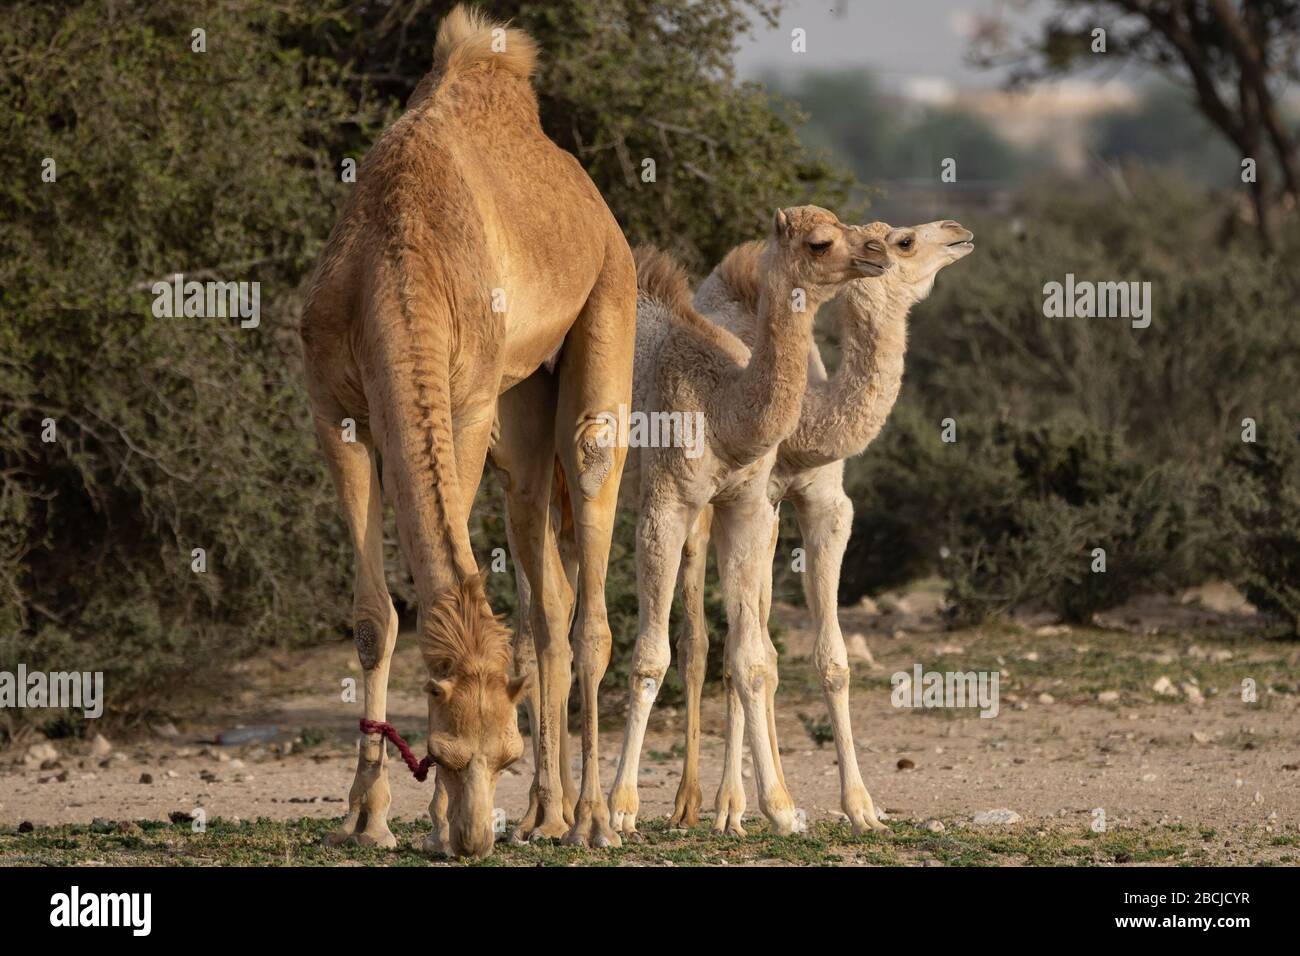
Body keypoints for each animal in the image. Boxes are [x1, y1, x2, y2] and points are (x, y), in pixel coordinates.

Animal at [299, 6, 635, 858]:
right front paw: (366, 817)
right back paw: (549, 815)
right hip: (522, 417)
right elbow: (375, 619)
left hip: (607, 315)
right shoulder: (334, 412)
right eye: (445, 752)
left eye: (502, 755)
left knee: (589, 601)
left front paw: (410, 820)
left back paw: (595, 820)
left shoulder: (467, 403)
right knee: (546, 606)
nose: (473, 838)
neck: (395, 263)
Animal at [605, 208, 892, 840]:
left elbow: (752, 658)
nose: (879, 251)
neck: (722, 407)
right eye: (821, 242)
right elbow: (649, 657)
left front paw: (781, 807)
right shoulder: (664, 505)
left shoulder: (748, 505)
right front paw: (620, 807)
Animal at [667, 219, 975, 835]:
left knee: (760, 642)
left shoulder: (827, 505)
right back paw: (696, 803)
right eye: (905, 241)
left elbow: (828, 659)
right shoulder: (752, 500)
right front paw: (733, 807)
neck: (805, 424)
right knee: (699, 641)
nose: (958, 232)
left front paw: (862, 808)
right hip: (701, 512)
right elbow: (740, 651)